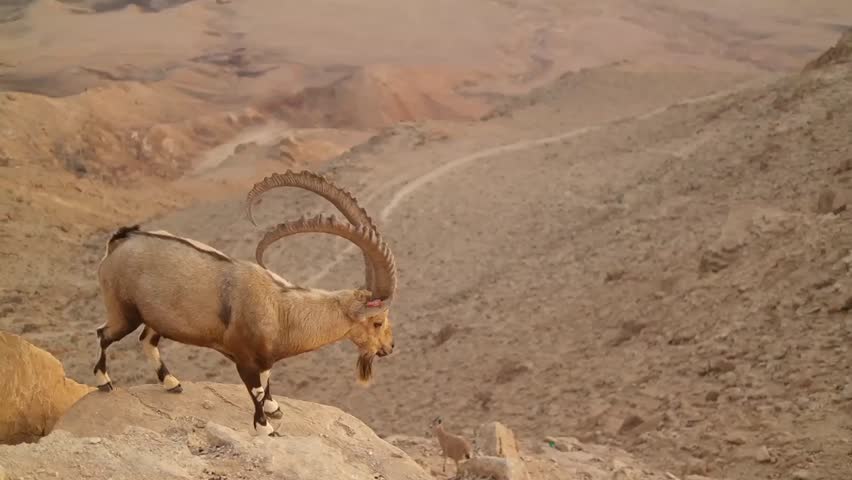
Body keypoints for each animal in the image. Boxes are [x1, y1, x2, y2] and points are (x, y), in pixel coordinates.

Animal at [93, 170, 398, 436]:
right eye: (377, 321)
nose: (389, 347)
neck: (282, 312)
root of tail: (121, 241)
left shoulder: (264, 360)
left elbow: (267, 382)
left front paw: (275, 409)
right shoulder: (244, 359)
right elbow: (256, 391)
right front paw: (266, 428)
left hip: (157, 318)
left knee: (147, 339)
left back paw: (171, 383)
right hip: (124, 311)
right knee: (104, 334)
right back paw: (104, 381)